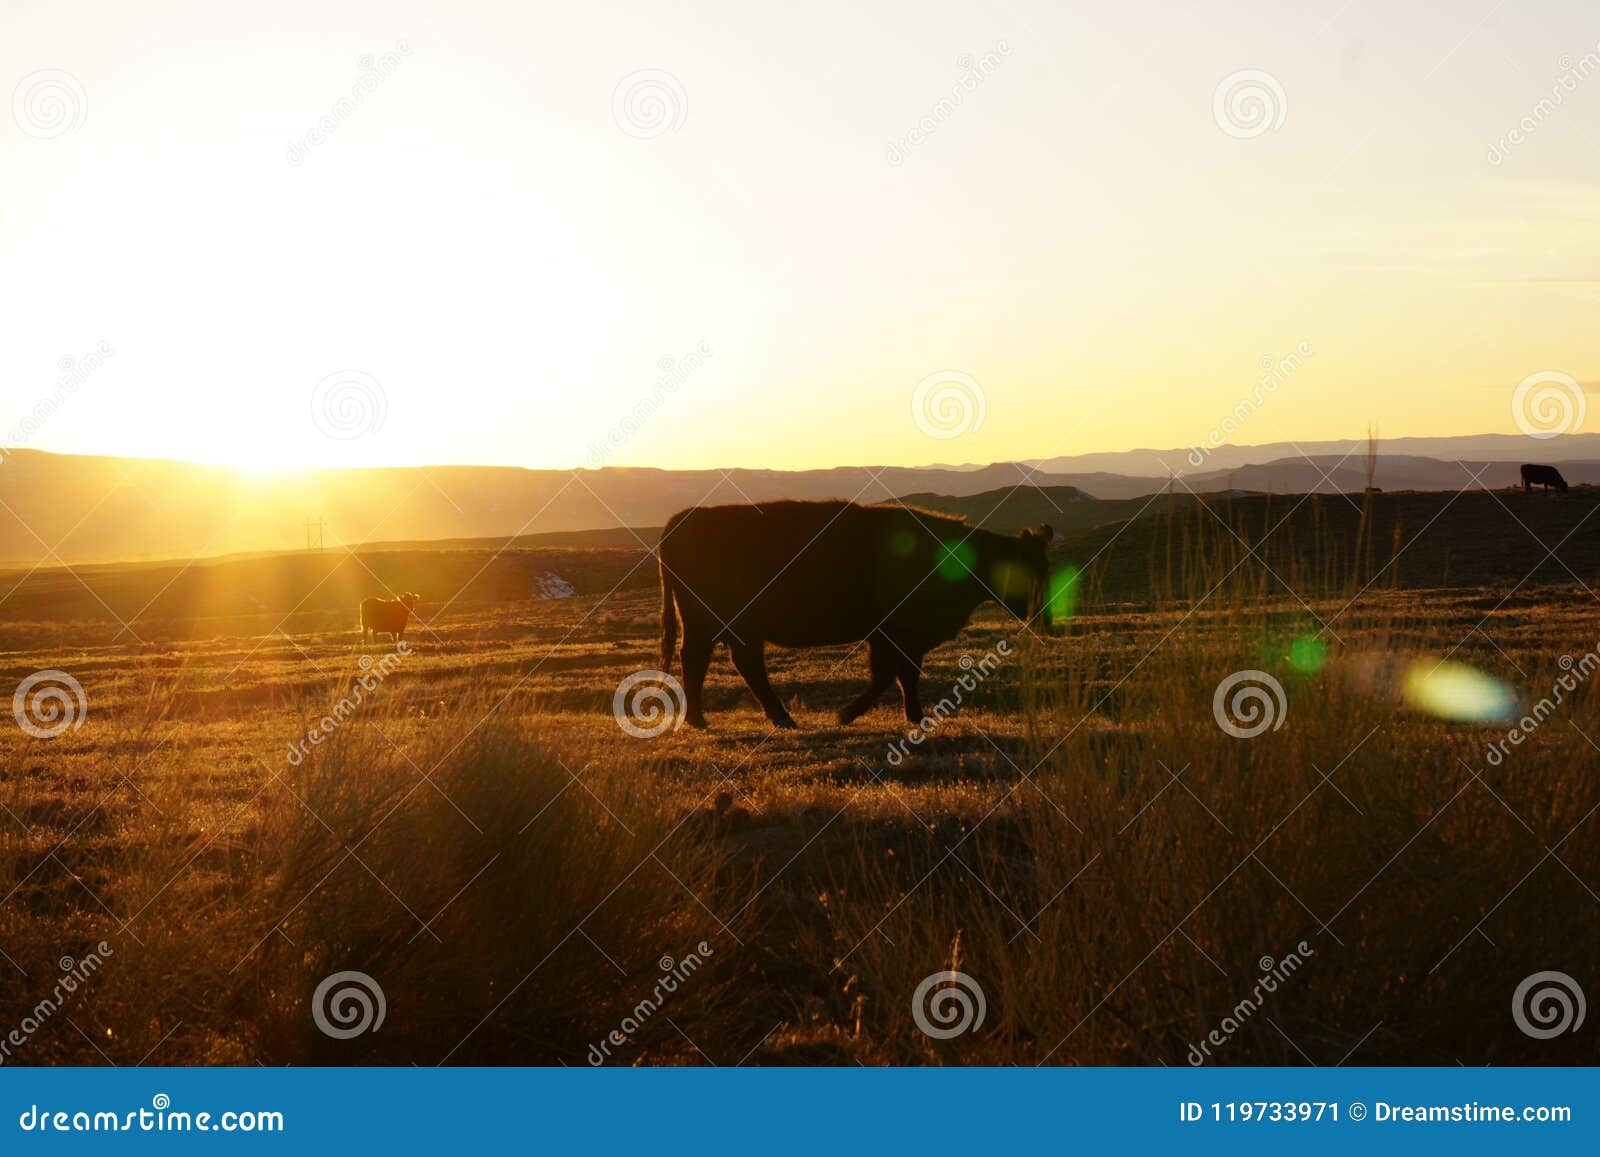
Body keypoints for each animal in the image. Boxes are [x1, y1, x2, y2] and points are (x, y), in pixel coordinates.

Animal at [657, 500, 1054, 729]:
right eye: (1031, 570)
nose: (1045, 618)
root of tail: (680, 519)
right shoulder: (892, 635)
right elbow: (889, 675)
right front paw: (847, 714)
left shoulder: (905, 640)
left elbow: (905, 675)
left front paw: (916, 715)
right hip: (707, 624)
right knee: (700, 659)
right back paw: (703, 719)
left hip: (736, 629)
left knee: (742, 663)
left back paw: (776, 717)